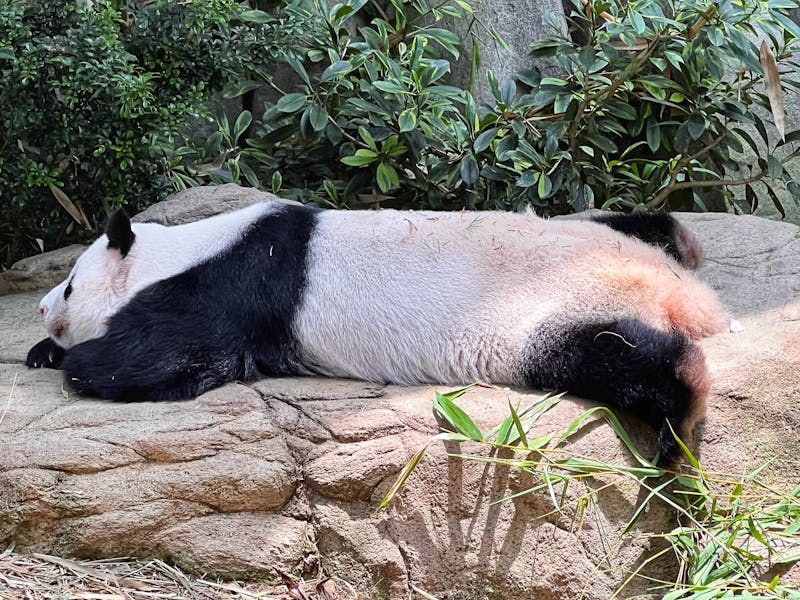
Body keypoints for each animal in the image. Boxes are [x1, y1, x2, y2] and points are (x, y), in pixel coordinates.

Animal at [26, 202, 732, 464]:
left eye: (70, 287)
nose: (38, 307)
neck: (185, 248)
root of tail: (683, 294)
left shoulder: (233, 290)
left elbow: (165, 357)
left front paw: (73, 358)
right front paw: (39, 353)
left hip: (544, 321)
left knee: (616, 357)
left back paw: (679, 422)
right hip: (595, 230)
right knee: (650, 220)